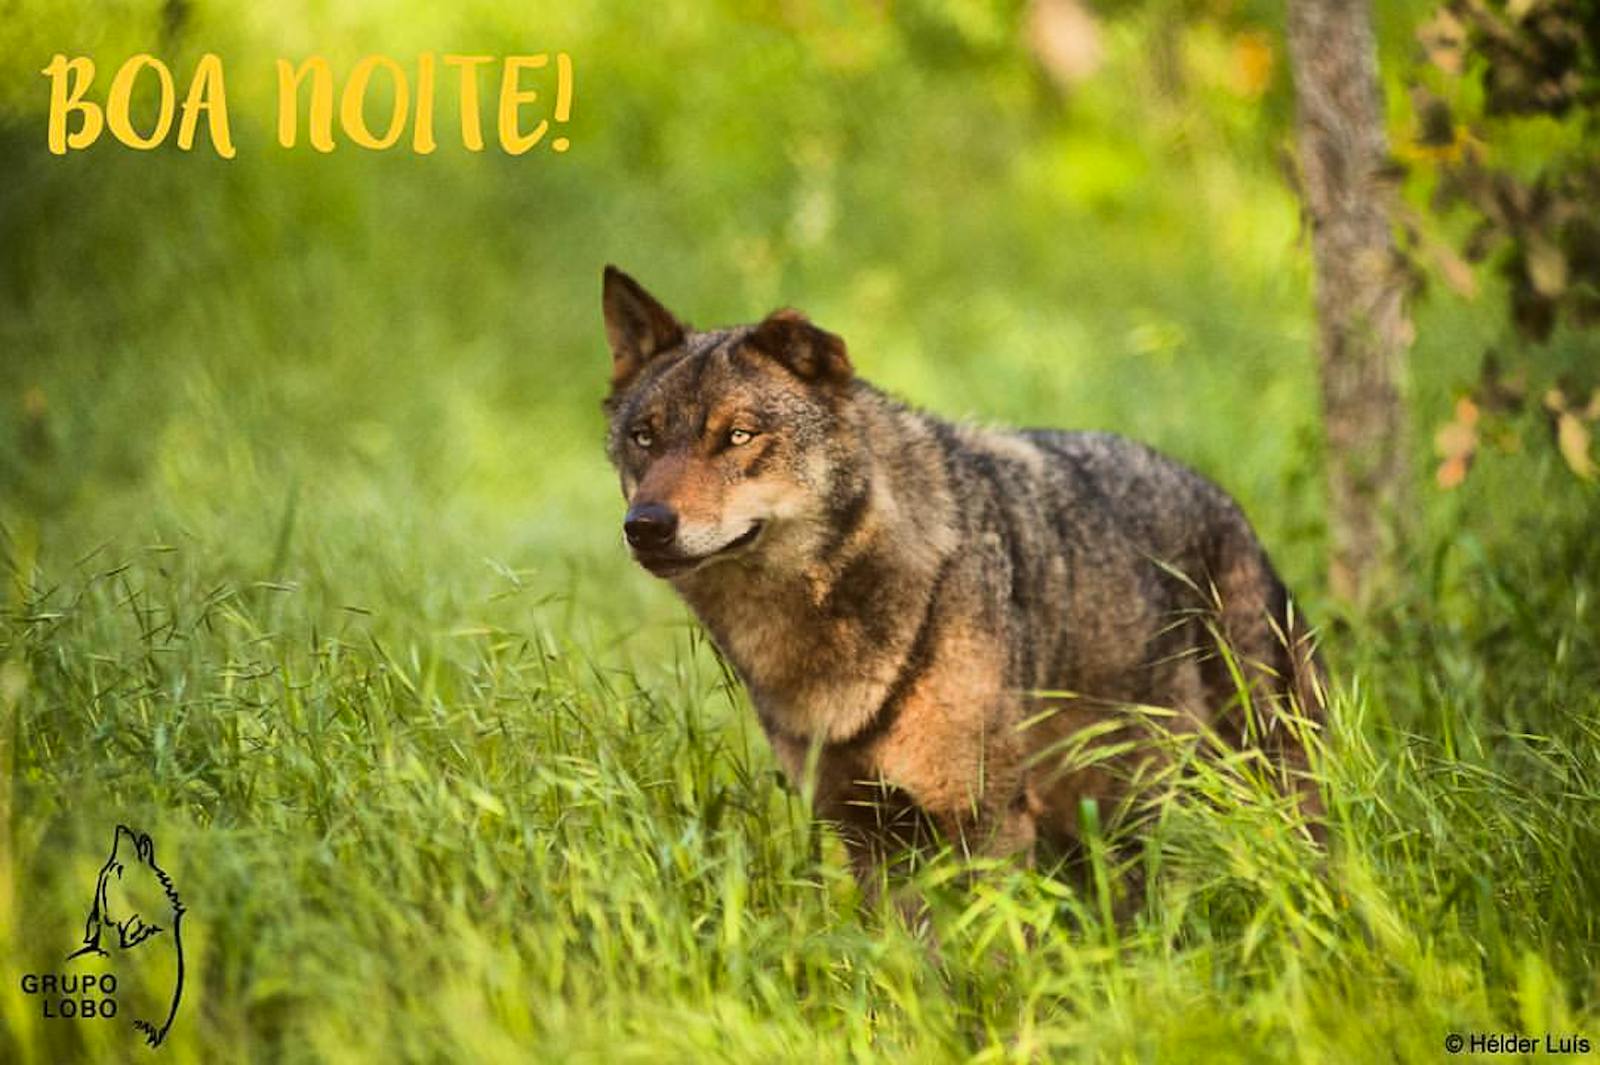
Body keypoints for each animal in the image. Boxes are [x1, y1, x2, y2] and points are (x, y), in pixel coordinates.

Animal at [600, 266, 1324, 896]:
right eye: (644, 438)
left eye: (739, 436)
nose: (646, 526)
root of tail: (1233, 510)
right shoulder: (870, 835)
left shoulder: (986, 821)